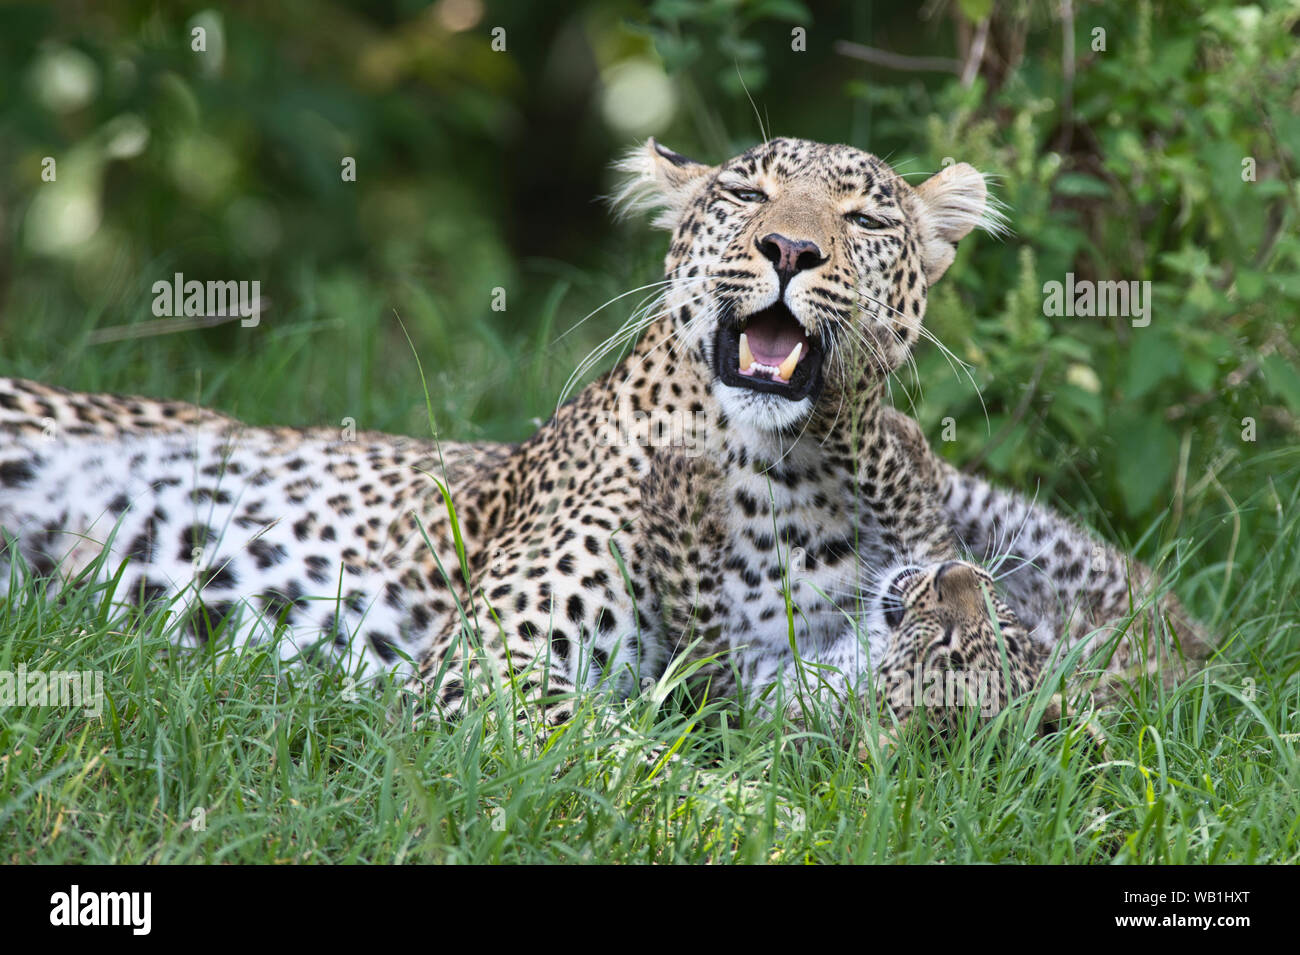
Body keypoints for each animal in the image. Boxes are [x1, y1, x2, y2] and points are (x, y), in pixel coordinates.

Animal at [0, 136, 1210, 736]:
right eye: (747, 194)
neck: (773, 475)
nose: (789, 249)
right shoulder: (495, 659)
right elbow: (624, 757)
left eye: (863, 219)